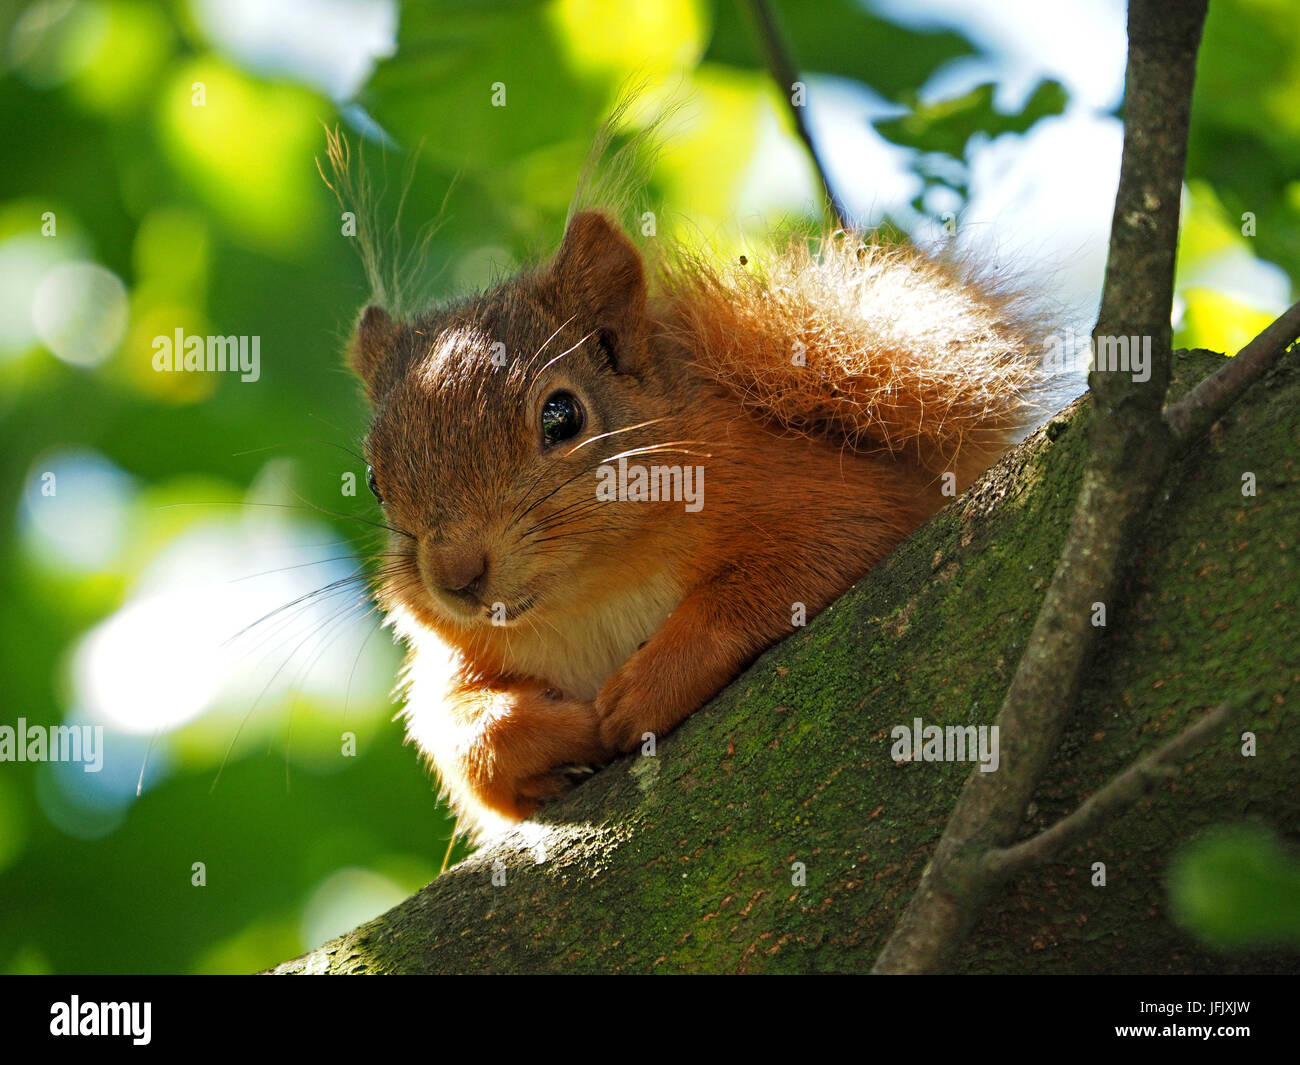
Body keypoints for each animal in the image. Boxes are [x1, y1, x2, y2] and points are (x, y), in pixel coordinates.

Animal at [340, 152, 1051, 840]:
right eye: (374, 480)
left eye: (562, 416)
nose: (455, 576)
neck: (594, 591)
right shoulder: (453, 659)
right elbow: (460, 737)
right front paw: (548, 735)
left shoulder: (830, 498)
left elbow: (785, 574)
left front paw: (650, 686)